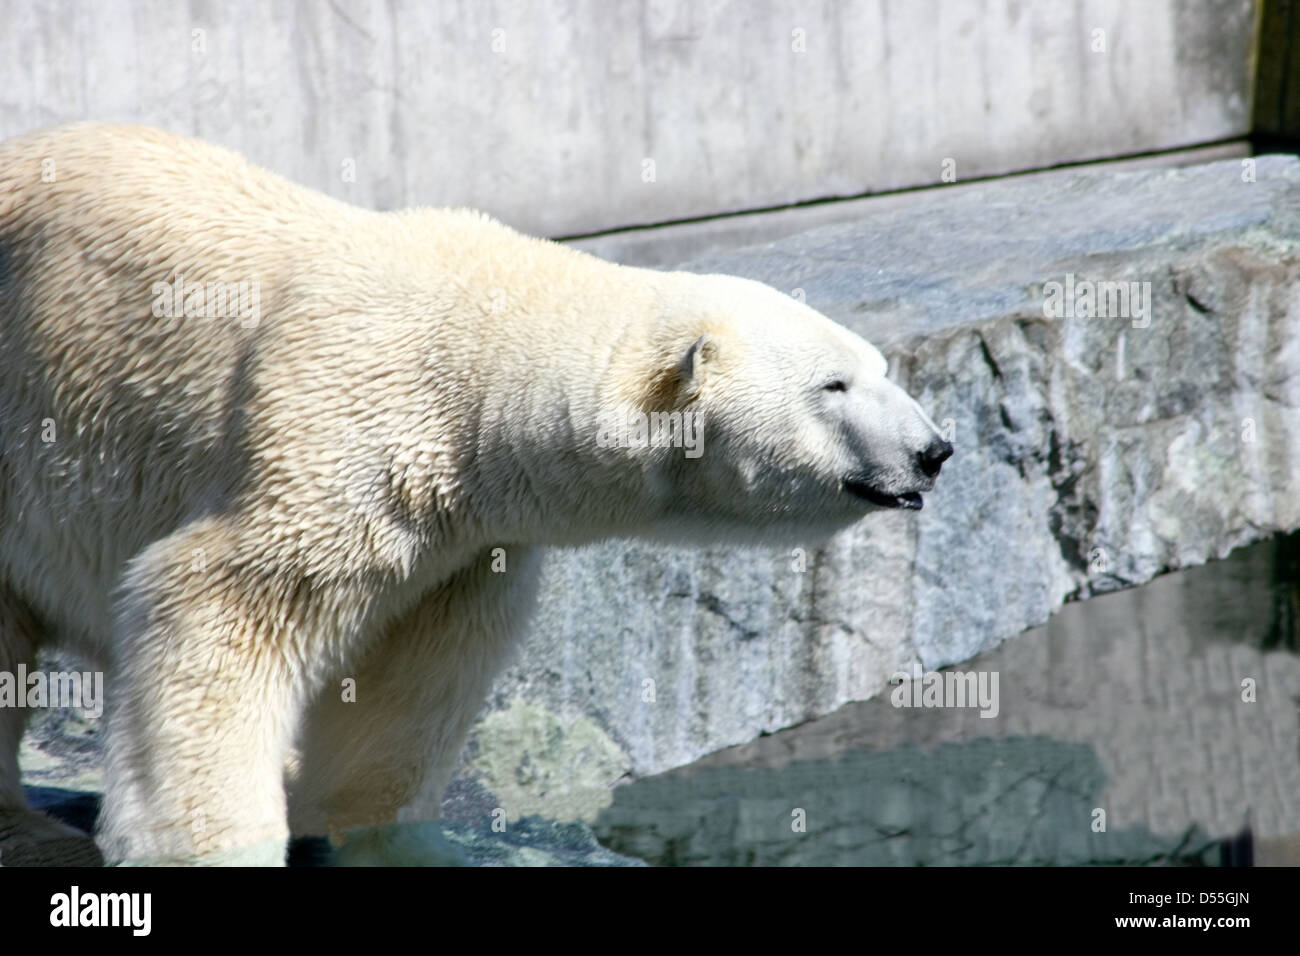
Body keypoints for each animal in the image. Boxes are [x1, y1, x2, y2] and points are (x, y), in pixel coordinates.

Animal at [0, 123, 952, 865]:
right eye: (832, 385)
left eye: (878, 367)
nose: (934, 451)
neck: (475, 367)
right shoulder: (327, 445)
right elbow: (214, 616)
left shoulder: (461, 539)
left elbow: (416, 681)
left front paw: (387, 834)